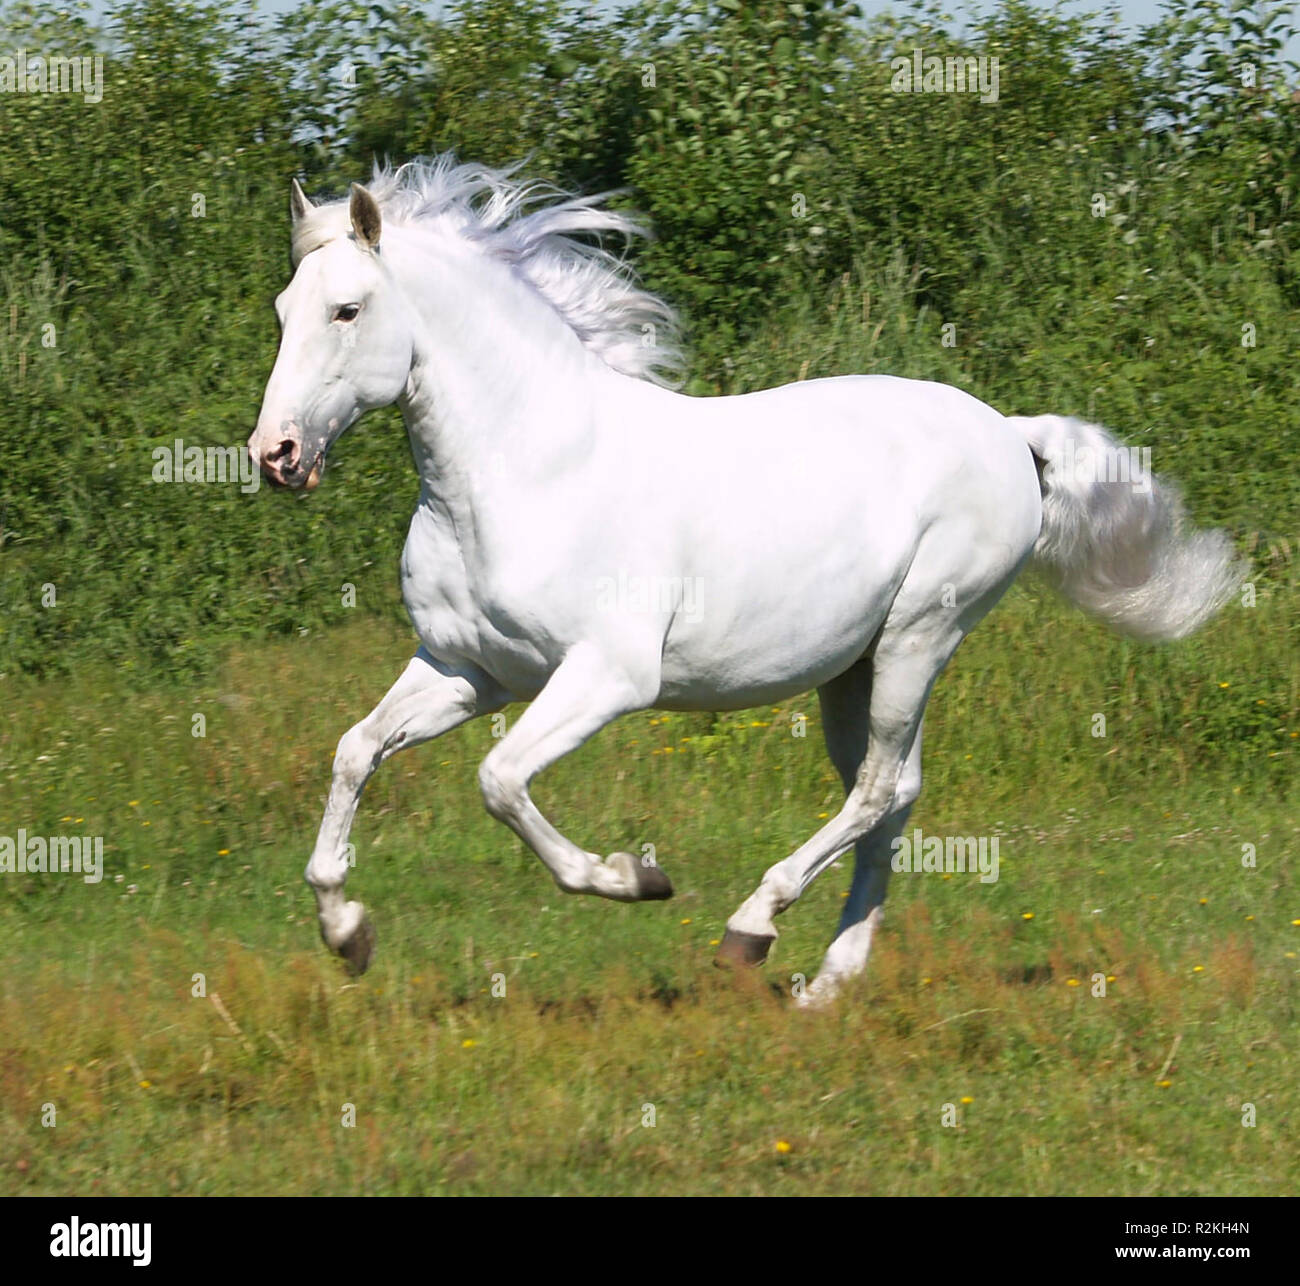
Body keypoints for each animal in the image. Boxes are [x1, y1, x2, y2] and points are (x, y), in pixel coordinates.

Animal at [247, 156, 1241, 1007]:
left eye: (346, 310)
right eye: (284, 309)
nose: (276, 456)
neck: (529, 470)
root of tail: (1008, 431)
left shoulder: (607, 676)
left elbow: (499, 781)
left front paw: (634, 877)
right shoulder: (472, 671)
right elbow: (355, 751)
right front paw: (347, 932)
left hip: (922, 635)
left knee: (876, 790)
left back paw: (752, 930)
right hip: (855, 668)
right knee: (891, 796)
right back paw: (829, 984)